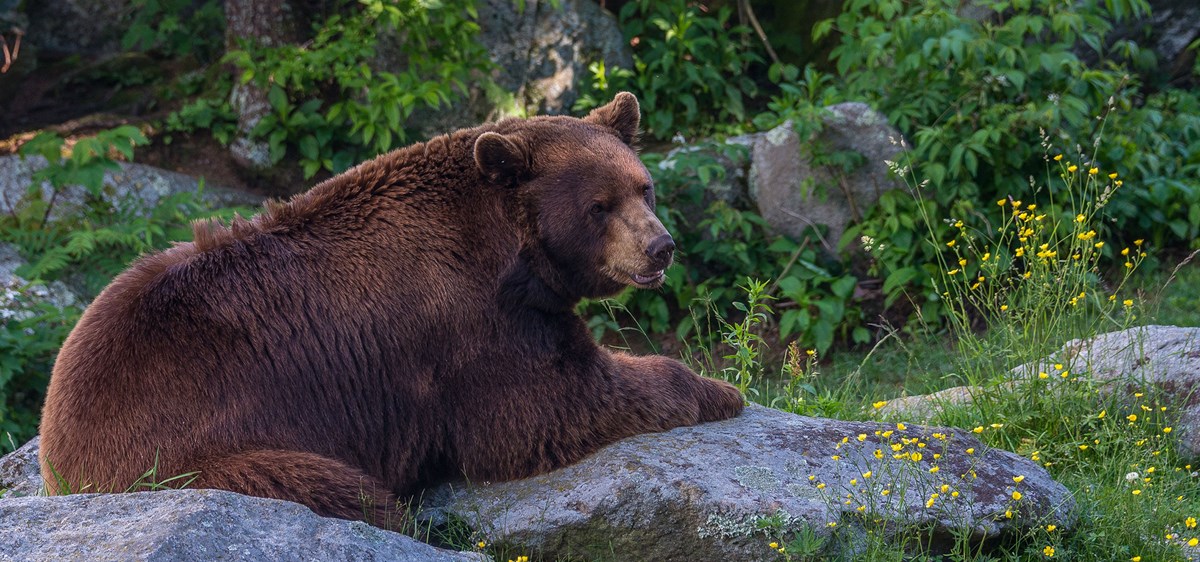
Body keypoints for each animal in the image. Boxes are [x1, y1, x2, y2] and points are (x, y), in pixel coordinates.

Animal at [38, 92, 744, 525]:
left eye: (643, 187)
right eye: (599, 206)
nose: (660, 246)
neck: (508, 256)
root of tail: (55, 444)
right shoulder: (464, 328)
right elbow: (548, 404)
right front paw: (717, 389)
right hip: (191, 456)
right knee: (338, 490)